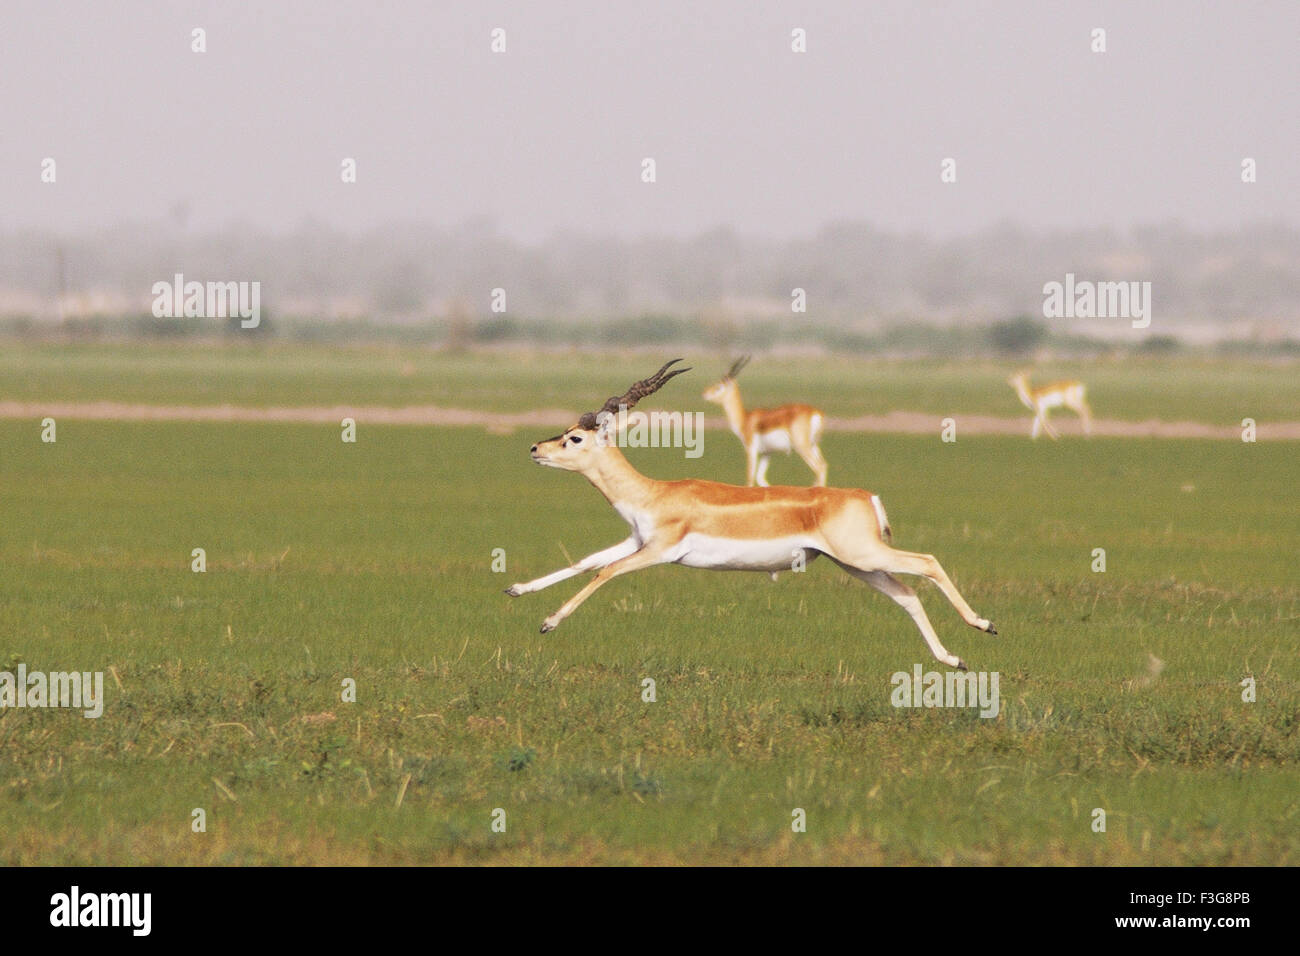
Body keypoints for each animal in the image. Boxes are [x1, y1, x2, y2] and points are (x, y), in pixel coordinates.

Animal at [703, 356, 828, 487]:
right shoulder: (766, 453)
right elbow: (760, 478)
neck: (746, 419)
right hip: (814, 445)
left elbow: (750, 479)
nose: (704, 393)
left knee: (819, 468)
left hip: (802, 446)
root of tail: (815, 413)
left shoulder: (751, 449)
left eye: (719, 386)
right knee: (823, 466)